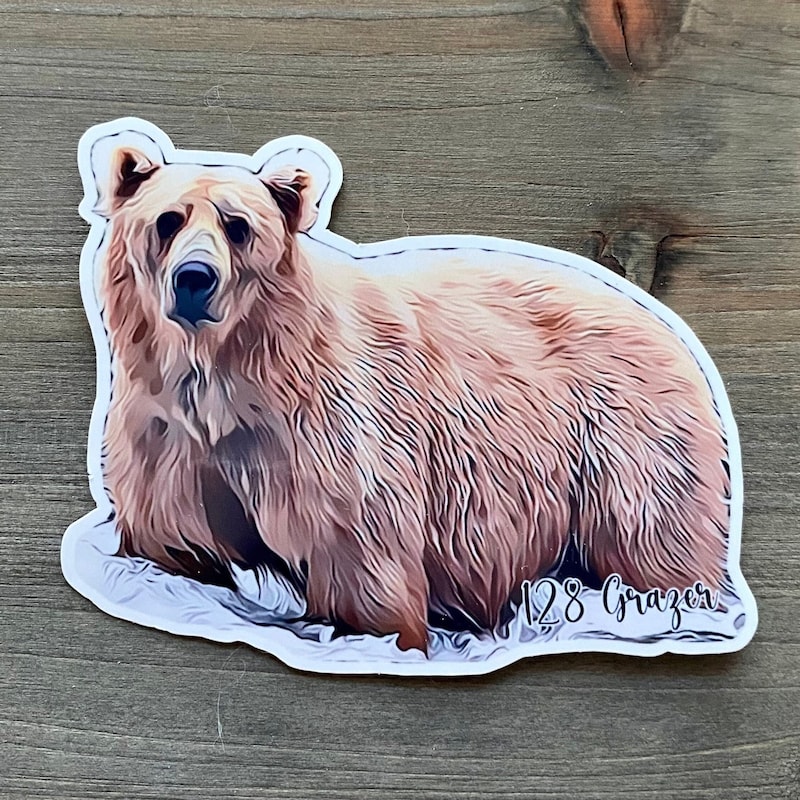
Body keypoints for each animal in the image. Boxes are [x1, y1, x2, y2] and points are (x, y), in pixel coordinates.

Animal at [88, 130, 730, 654]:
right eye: (168, 220)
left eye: (237, 226)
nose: (195, 279)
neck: (226, 374)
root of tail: (667, 326)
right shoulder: (167, 434)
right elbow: (173, 537)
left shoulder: (327, 436)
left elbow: (361, 557)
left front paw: (368, 633)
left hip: (621, 437)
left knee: (652, 537)